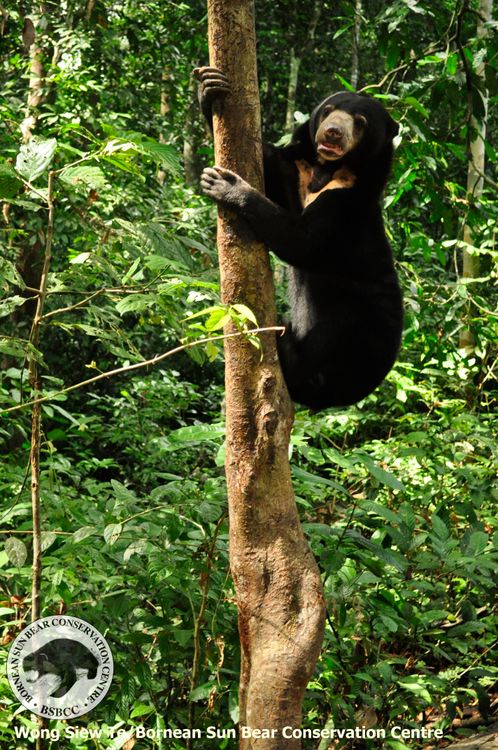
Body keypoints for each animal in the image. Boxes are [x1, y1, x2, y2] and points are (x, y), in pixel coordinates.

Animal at [196, 67, 403, 410]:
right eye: (329, 111)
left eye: (360, 121)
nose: (332, 133)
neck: (330, 170)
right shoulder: (302, 174)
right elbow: (273, 171)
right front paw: (209, 88)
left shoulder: (344, 207)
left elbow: (301, 242)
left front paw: (225, 184)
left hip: (347, 329)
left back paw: (282, 338)